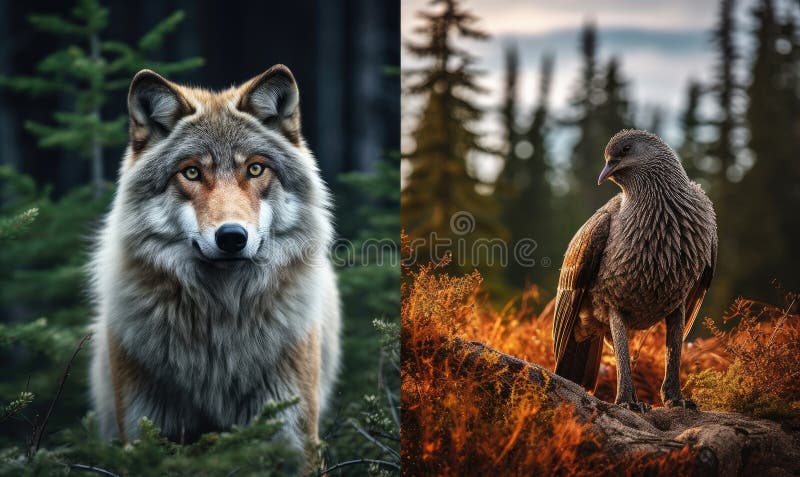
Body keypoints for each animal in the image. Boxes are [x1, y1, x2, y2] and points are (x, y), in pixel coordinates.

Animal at [89, 64, 340, 451]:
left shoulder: (292, 434)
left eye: (255, 170)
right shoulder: (144, 433)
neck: (220, 328)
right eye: (191, 172)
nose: (232, 237)